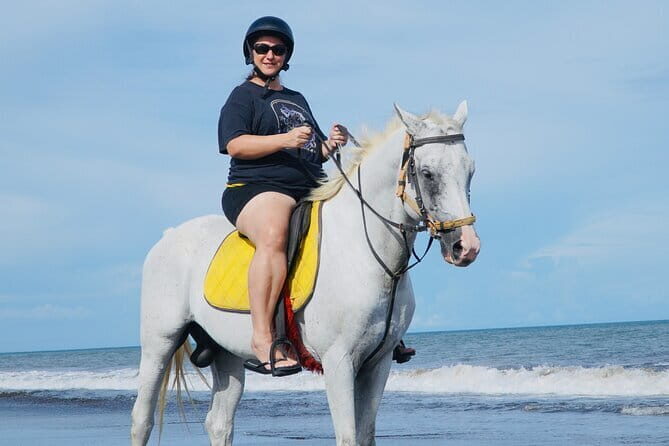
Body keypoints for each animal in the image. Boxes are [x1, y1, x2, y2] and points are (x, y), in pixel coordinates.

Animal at [130, 101, 480, 446]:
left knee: (219, 423)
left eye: (470, 171)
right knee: (142, 419)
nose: (466, 247)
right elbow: (348, 436)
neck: (362, 250)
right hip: (160, 342)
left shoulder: (377, 364)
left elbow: (366, 434)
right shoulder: (339, 362)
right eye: (428, 173)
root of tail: (168, 236)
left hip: (226, 353)